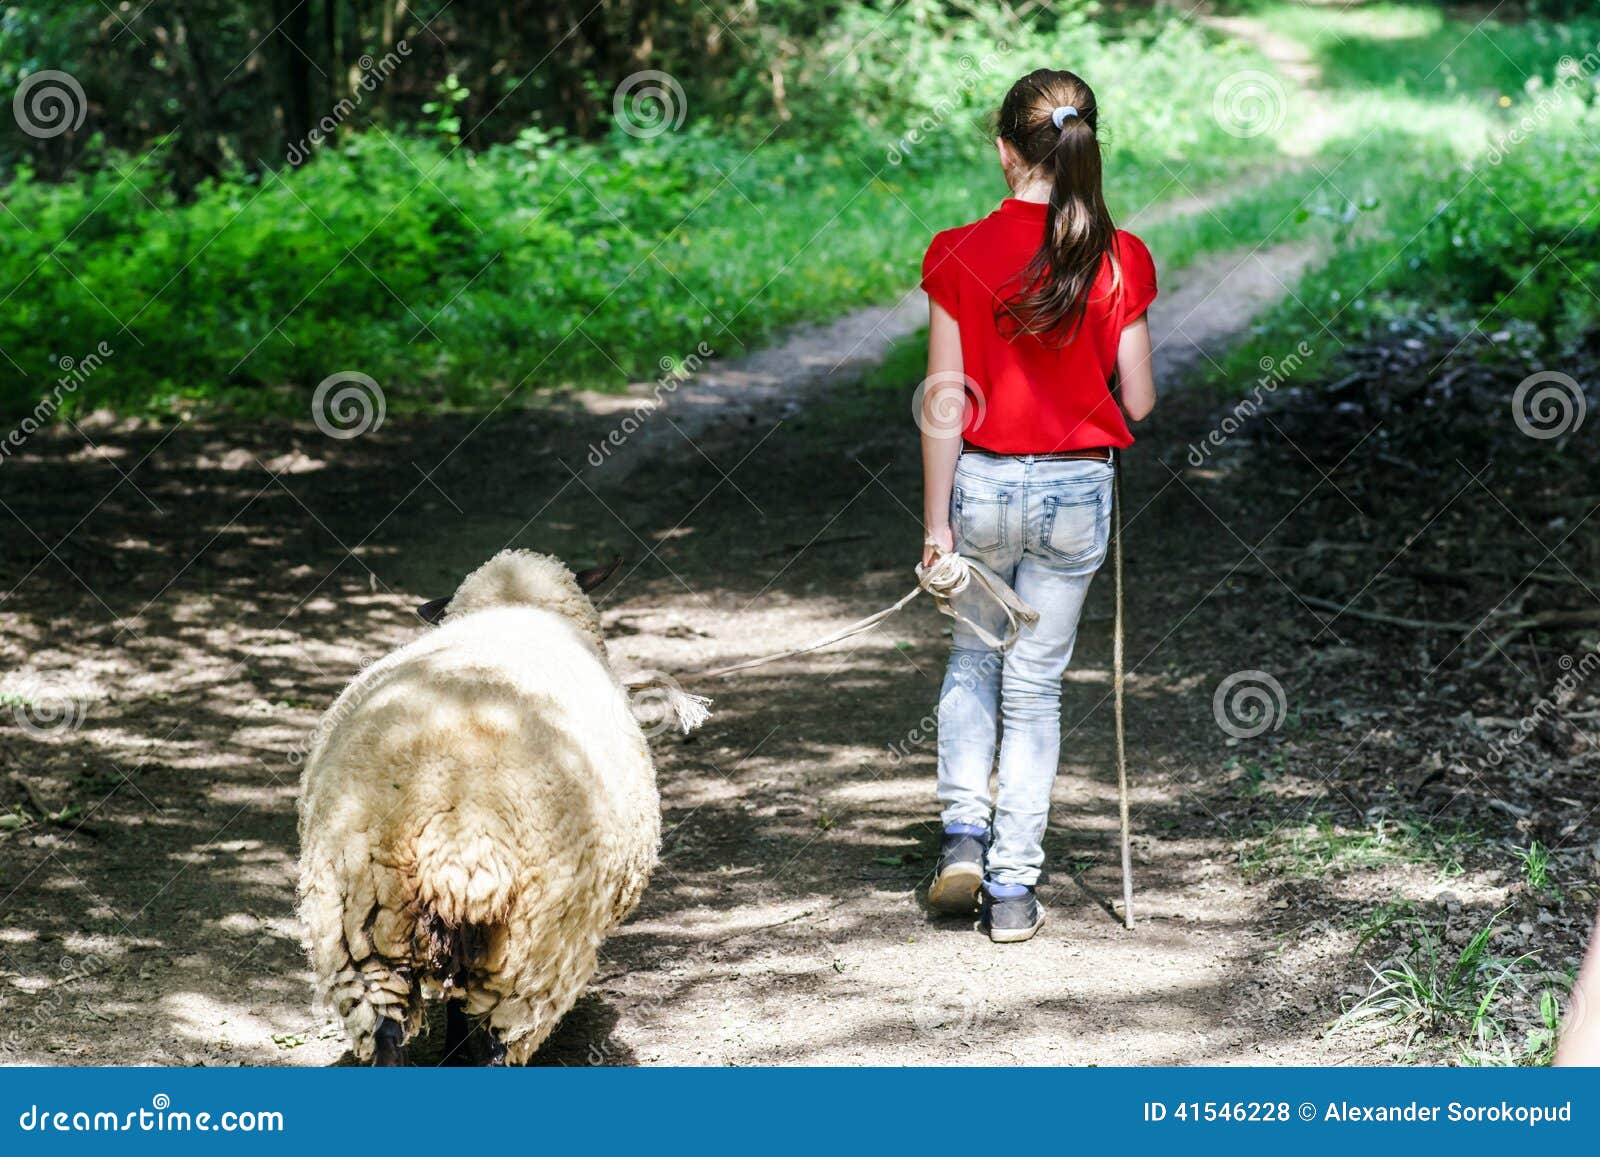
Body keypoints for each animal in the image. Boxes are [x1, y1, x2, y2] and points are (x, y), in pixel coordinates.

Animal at [296, 549, 668, 1066]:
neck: (514, 605)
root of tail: (457, 841)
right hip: (529, 955)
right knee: (497, 1045)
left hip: (362, 939)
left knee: (388, 1037)